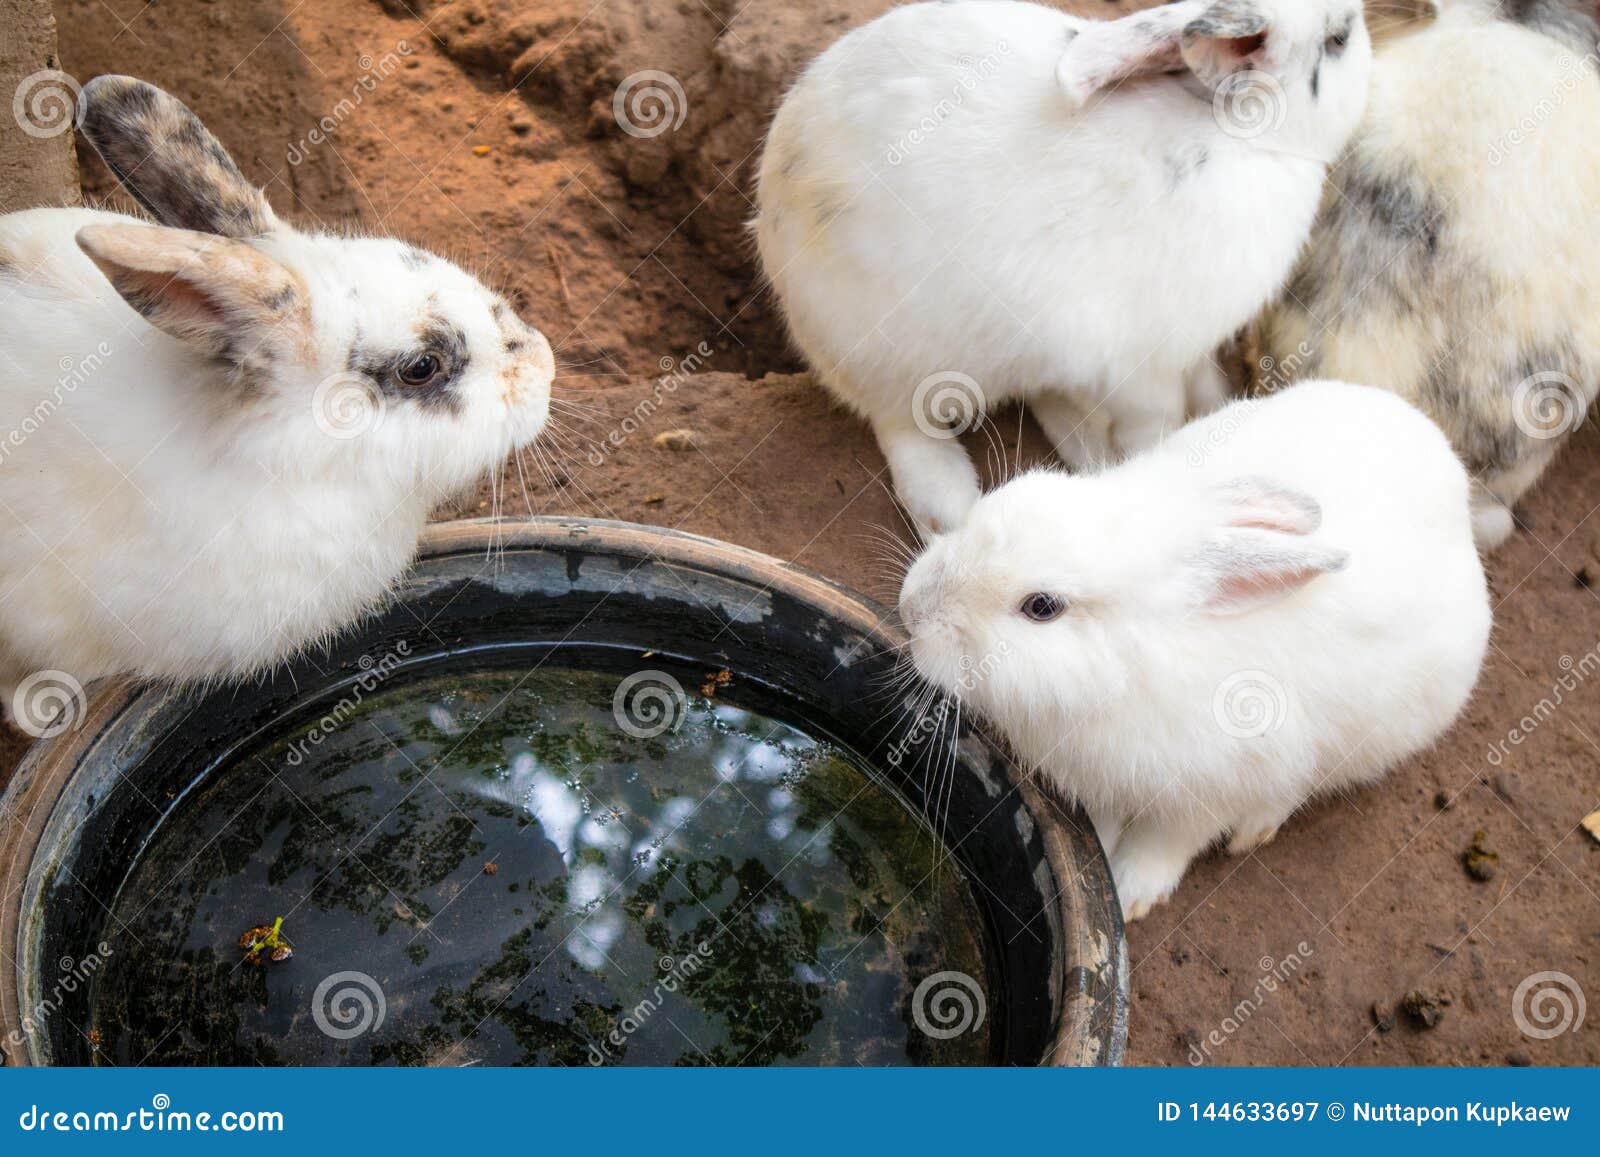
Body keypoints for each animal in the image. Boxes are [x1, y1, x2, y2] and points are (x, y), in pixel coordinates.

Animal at [754, 0, 1374, 538]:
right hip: (900, 365)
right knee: (912, 447)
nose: (1360, 20)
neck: (1241, 138)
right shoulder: (1141, 366)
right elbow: (1155, 426)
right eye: (1338, 41)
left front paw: (1220, 406)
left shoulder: (1188, 349)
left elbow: (1203, 385)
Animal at [897, 380, 1491, 919]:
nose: (911, 609)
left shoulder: (1210, 791)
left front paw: (1130, 894)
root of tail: (1447, 467)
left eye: (1042, 607)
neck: (1128, 666)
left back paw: (1255, 829)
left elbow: (1168, 843)